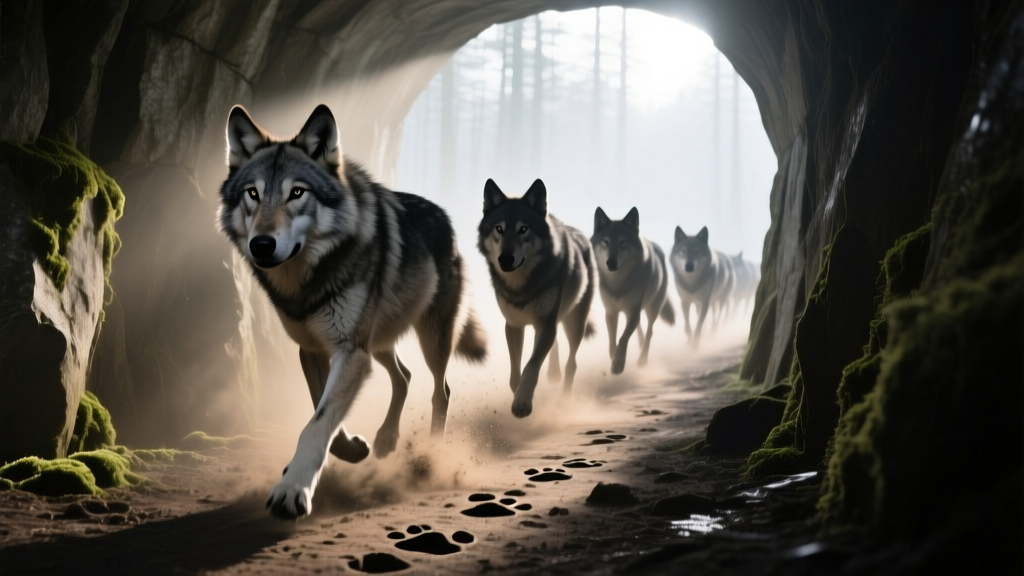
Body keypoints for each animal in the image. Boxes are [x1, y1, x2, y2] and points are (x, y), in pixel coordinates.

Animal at [218, 104, 486, 519]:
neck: (308, 283)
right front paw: (348, 449)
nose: (261, 244)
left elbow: (316, 423)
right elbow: (320, 408)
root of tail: (446, 217)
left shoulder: (350, 350)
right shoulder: (314, 349)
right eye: (253, 194)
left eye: (297, 193)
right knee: (404, 376)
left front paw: (292, 490)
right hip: (378, 341)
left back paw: (428, 457)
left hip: (430, 339)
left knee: (441, 390)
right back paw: (386, 439)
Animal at [477, 178, 596, 418]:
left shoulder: (544, 323)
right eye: (499, 228)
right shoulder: (514, 324)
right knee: (556, 345)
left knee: (572, 363)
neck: (521, 287)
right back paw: (553, 375)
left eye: (523, 229)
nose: (505, 259)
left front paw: (522, 402)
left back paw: (564, 401)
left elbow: (530, 366)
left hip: (574, 324)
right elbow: (516, 372)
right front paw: (519, 395)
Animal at [591, 207, 674, 374]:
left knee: (649, 331)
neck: (617, 283)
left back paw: (642, 359)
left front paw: (618, 364)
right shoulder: (611, 312)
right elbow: (612, 340)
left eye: (623, 242)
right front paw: (613, 357)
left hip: (652, 308)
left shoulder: (633, 311)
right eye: (606, 241)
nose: (611, 262)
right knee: (639, 329)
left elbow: (623, 338)